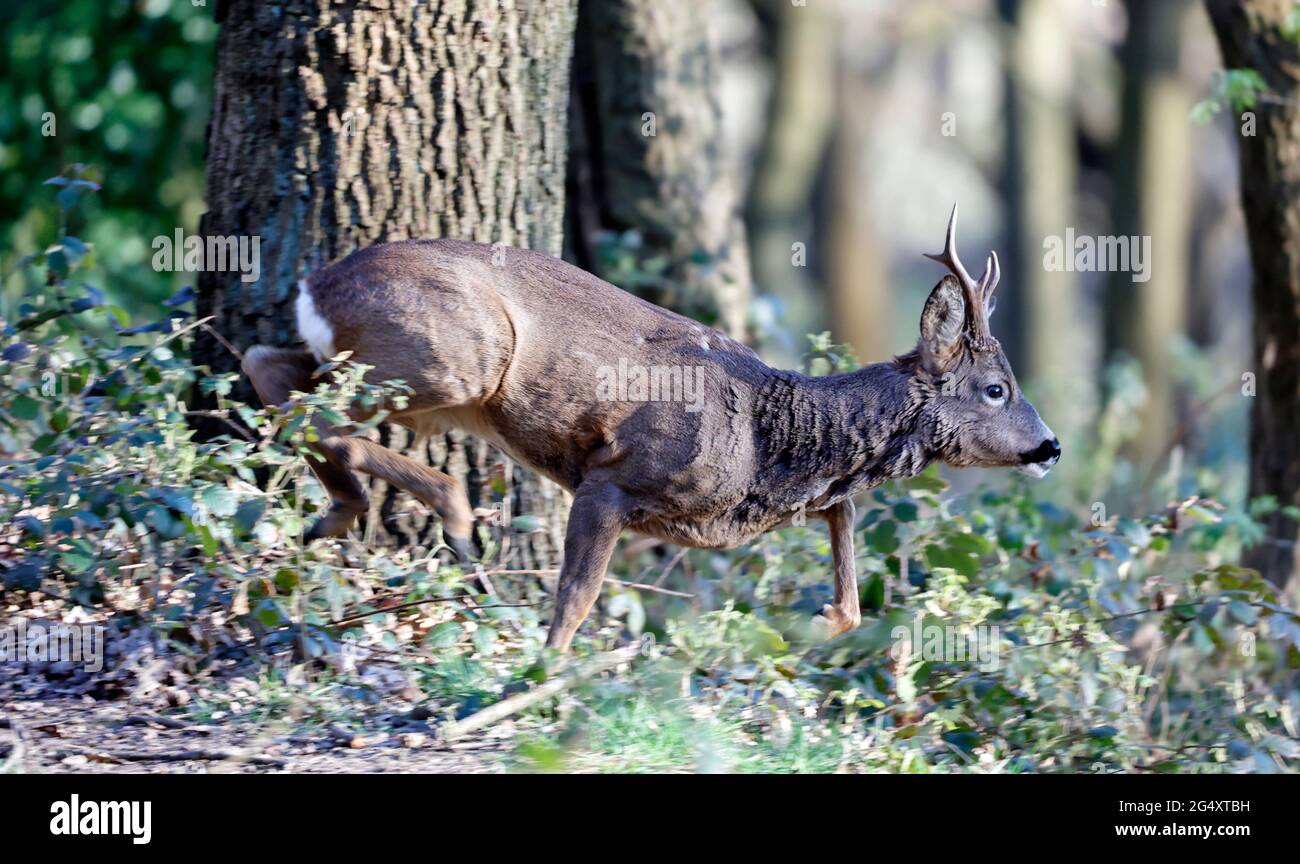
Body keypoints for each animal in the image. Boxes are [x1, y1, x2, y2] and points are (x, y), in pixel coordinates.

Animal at [242, 205, 1060, 652]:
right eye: (996, 388)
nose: (1050, 446)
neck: (766, 437)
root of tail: (317, 283)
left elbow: (847, 540)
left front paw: (821, 619)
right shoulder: (613, 475)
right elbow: (573, 604)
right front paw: (542, 679)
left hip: (390, 366)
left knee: (268, 367)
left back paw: (338, 514)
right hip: (449, 362)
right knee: (305, 403)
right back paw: (444, 504)